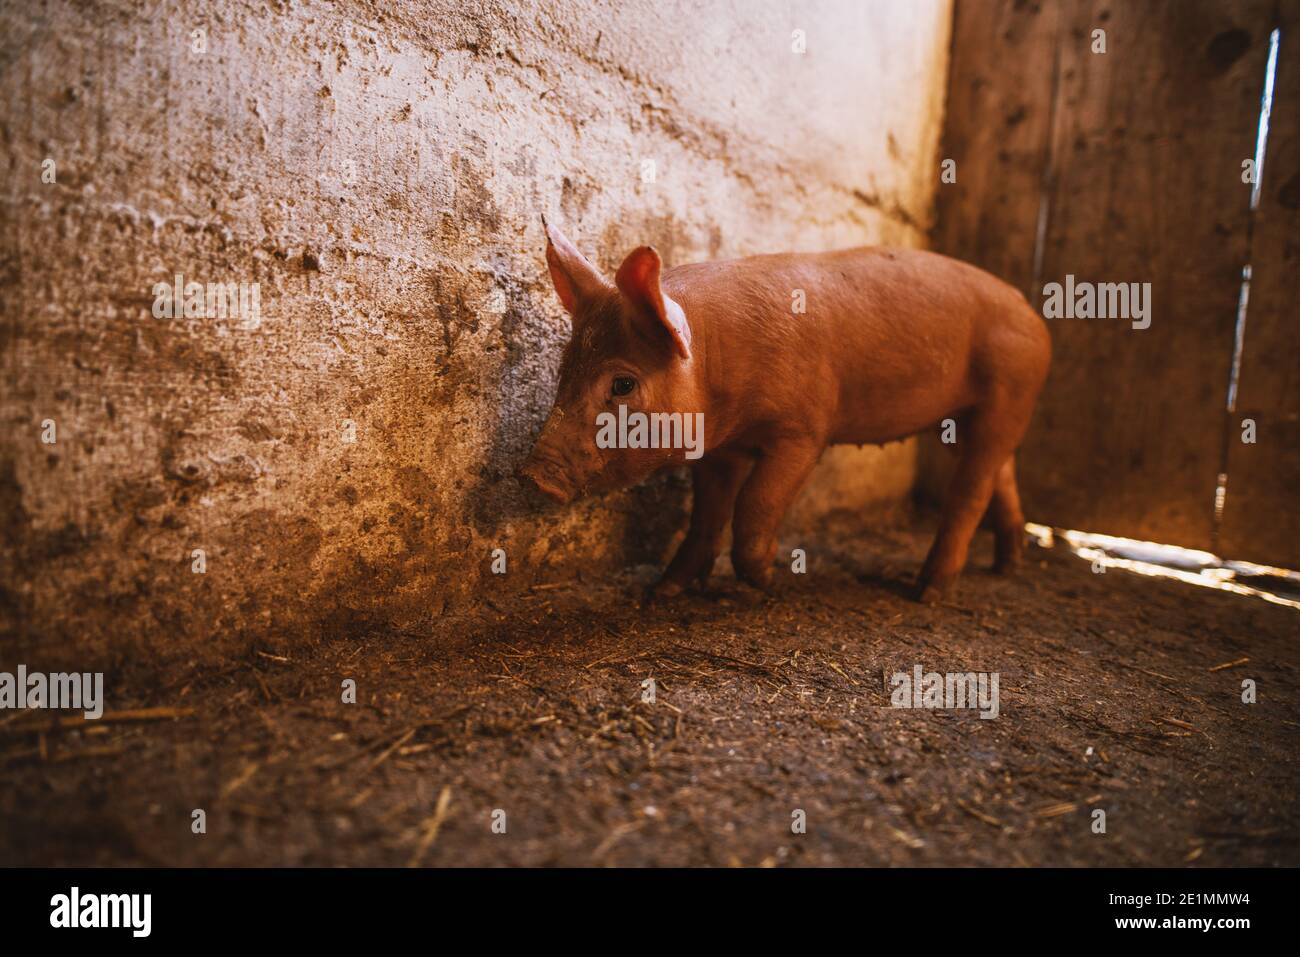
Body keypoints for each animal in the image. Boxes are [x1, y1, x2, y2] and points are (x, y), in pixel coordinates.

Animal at [518, 218, 1051, 603]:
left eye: (623, 383)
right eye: (565, 367)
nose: (533, 474)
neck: (715, 362)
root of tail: (1030, 311)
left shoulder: (804, 431)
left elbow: (757, 503)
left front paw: (764, 581)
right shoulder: (721, 449)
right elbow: (706, 514)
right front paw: (661, 592)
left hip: (1009, 392)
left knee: (971, 490)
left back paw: (928, 592)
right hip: (968, 416)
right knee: (1001, 475)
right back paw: (1008, 565)